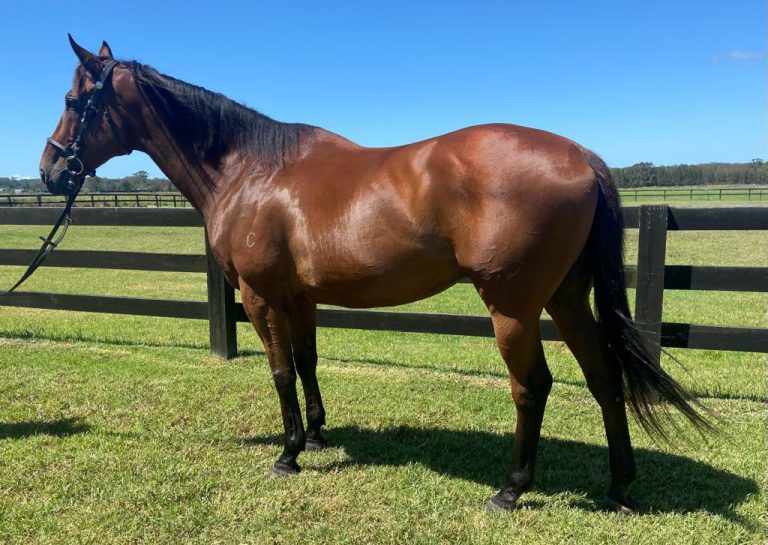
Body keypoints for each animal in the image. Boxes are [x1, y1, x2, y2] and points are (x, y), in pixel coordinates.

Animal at [39, 36, 710, 513]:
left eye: (74, 102)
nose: (50, 170)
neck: (251, 170)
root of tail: (582, 156)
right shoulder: (299, 297)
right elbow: (306, 362)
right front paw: (315, 436)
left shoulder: (259, 297)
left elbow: (280, 372)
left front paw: (288, 454)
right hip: (567, 300)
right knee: (603, 379)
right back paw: (620, 488)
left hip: (514, 308)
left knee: (533, 387)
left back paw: (510, 489)